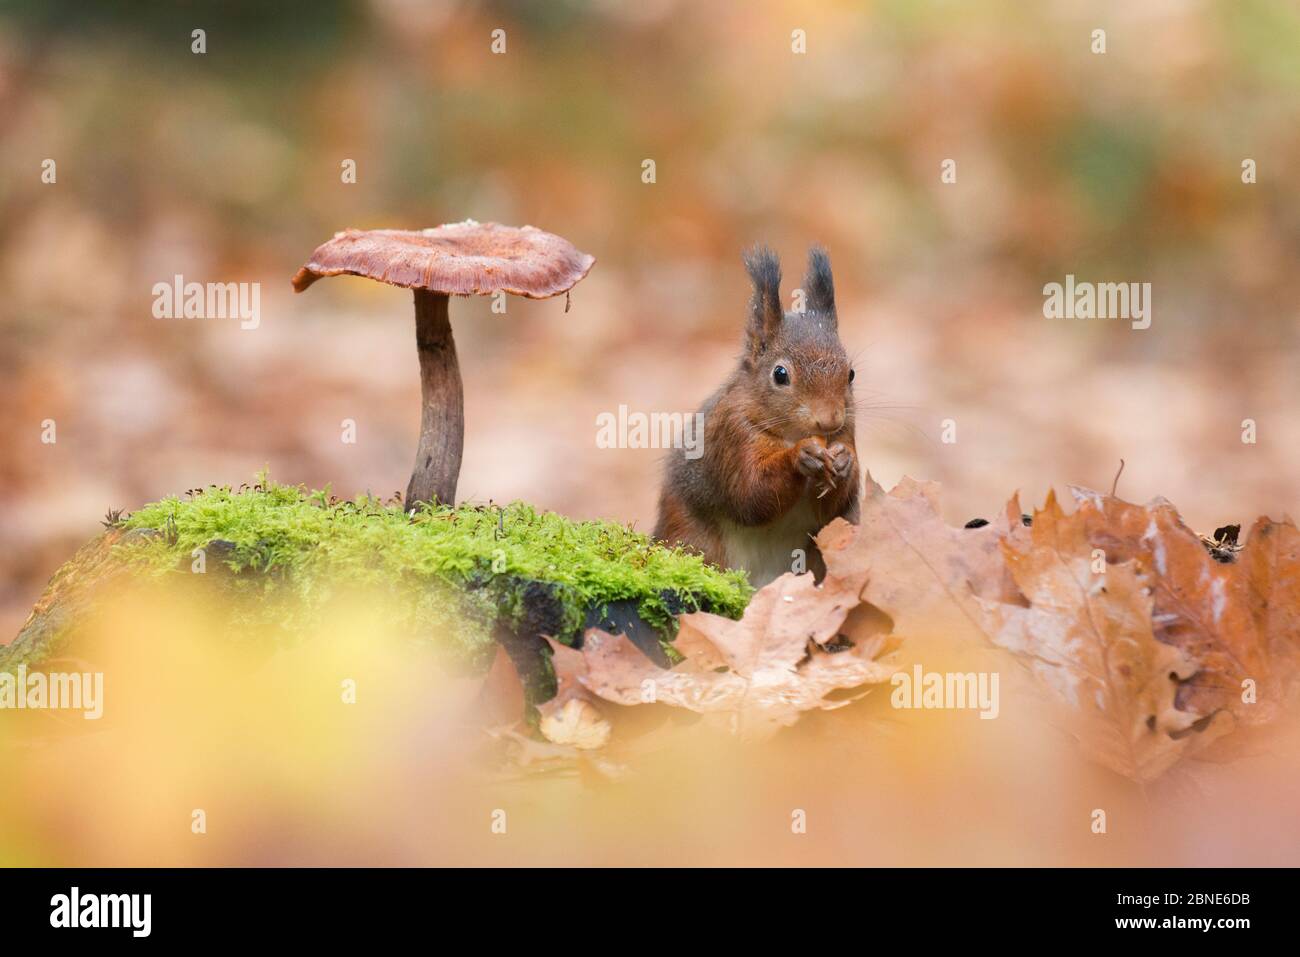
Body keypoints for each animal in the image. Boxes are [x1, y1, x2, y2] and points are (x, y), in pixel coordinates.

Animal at [653, 246, 860, 587]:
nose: (830, 420)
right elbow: (750, 495)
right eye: (780, 374)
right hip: (694, 536)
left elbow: (831, 511)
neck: (790, 434)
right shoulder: (732, 436)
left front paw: (844, 461)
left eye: (851, 373)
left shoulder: (848, 433)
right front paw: (800, 456)